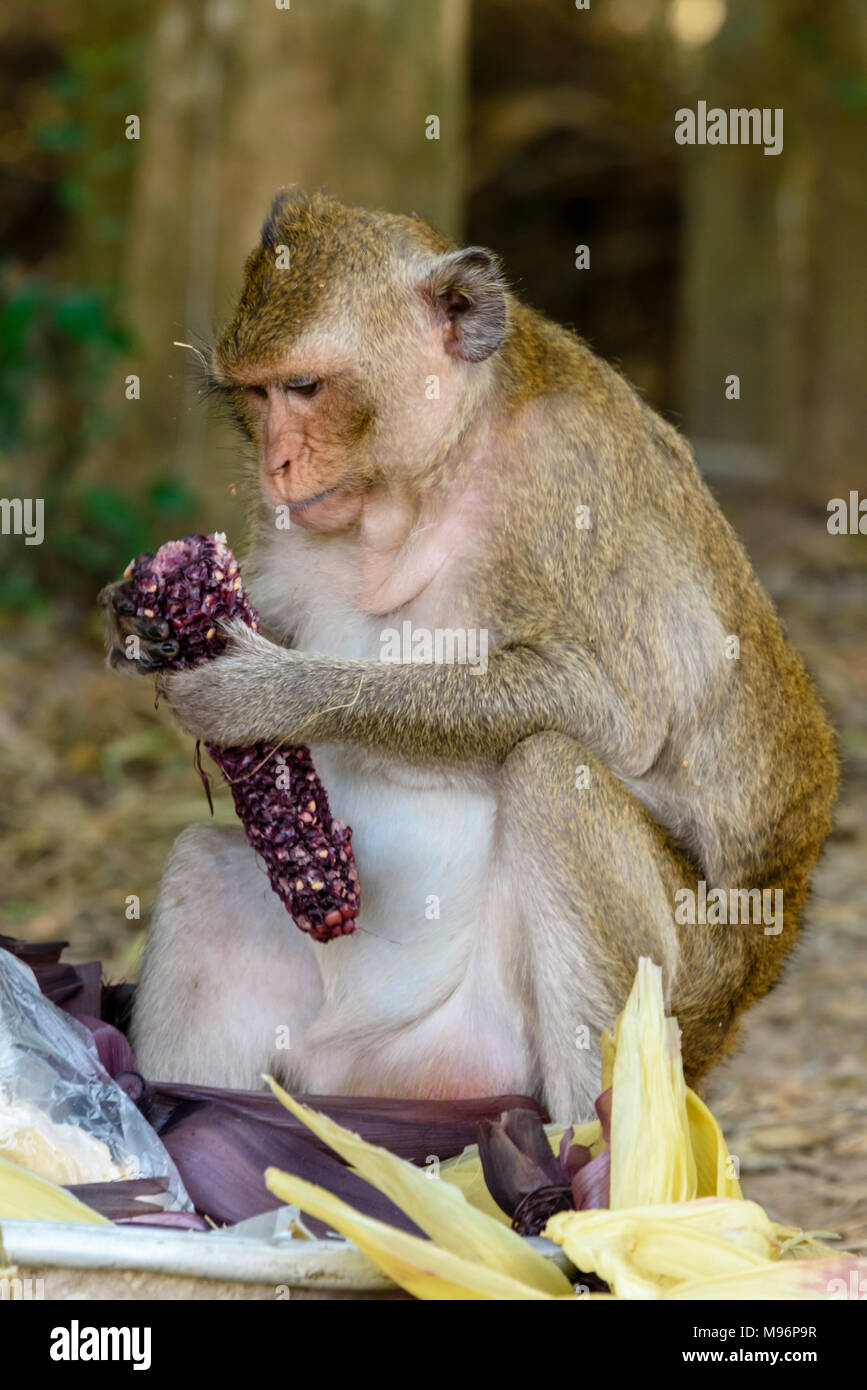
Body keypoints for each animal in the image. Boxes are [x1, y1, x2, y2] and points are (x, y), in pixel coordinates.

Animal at [101, 189, 838, 1122]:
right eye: (253, 397)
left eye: (303, 387)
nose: (275, 465)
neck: (431, 477)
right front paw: (145, 616)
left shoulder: (565, 480)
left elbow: (612, 712)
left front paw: (268, 694)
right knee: (201, 866)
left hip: (654, 1013)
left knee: (552, 774)